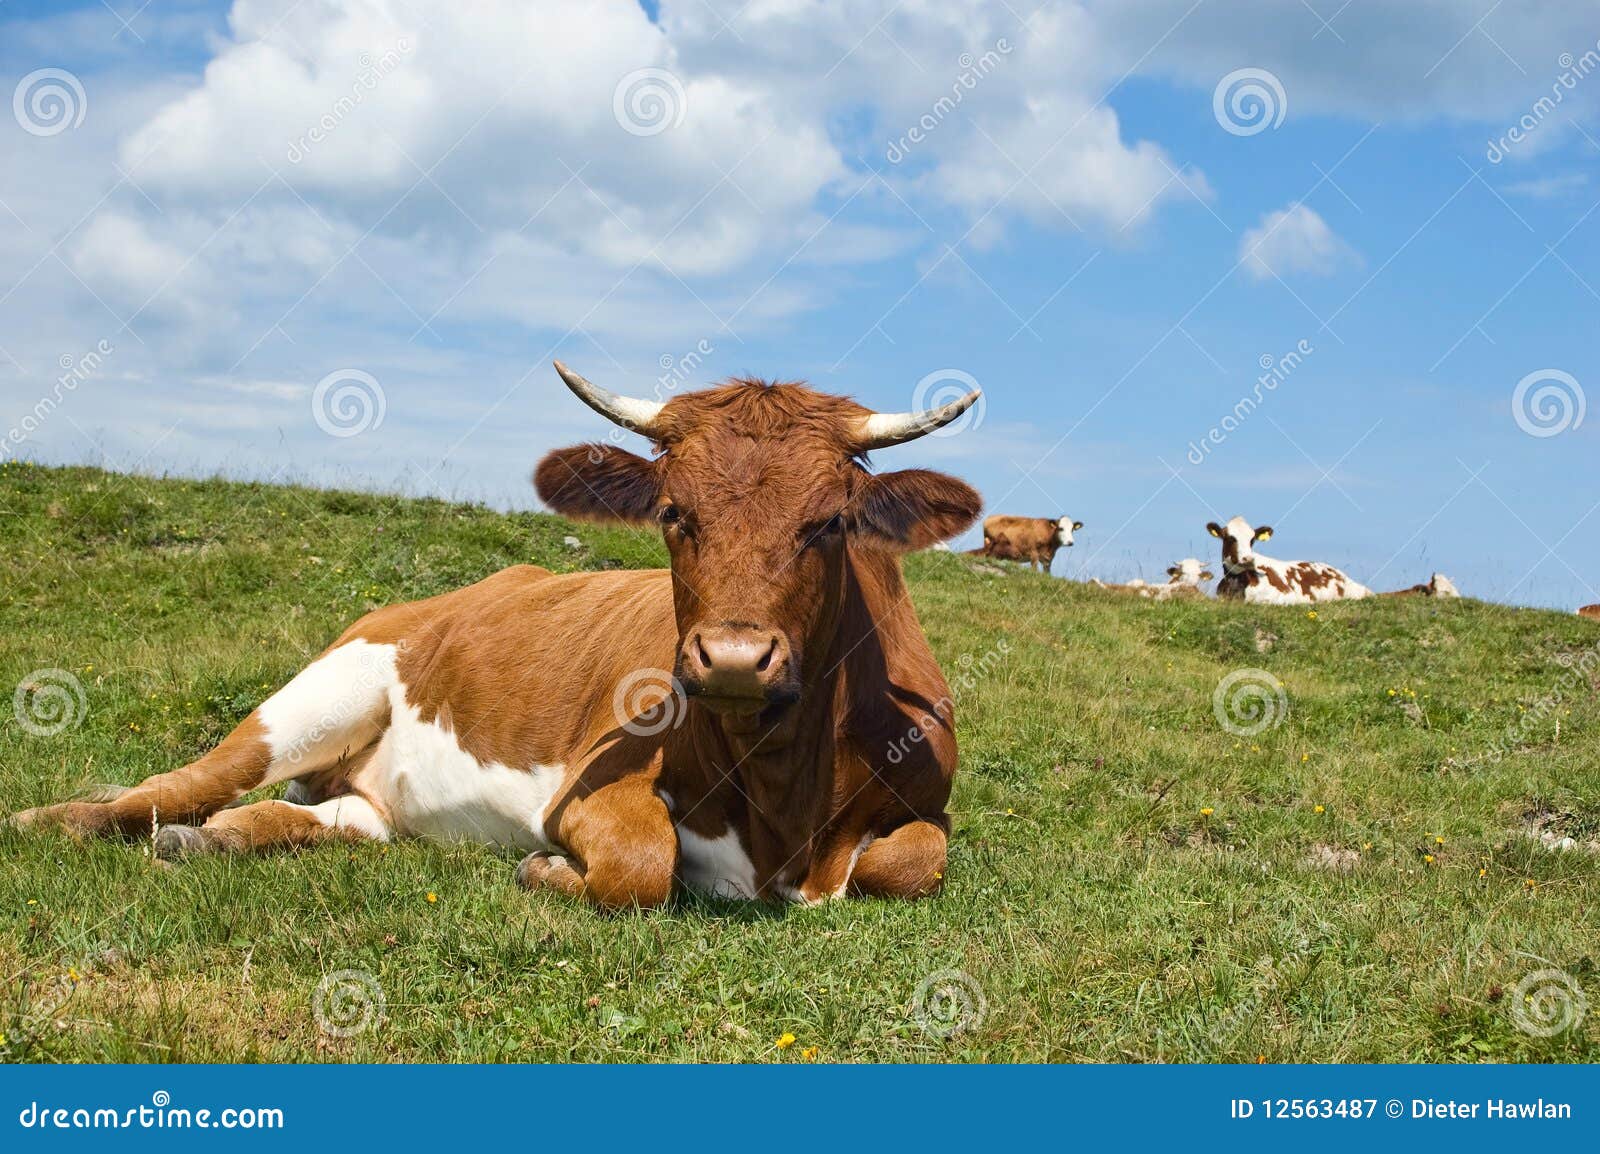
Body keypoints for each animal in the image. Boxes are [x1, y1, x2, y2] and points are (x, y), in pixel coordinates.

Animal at [12, 364, 984, 909]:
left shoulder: (923, 811)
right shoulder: (591, 790)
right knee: (175, 786)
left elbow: (913, 862)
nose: (735, 660)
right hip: (315, 697)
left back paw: (213, 840)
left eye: (831, 522)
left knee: (314, 817)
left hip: (367, 796)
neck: (786, 802)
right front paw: (546, 874)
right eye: (674, 513)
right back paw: (51, 821)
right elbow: (644, 862)